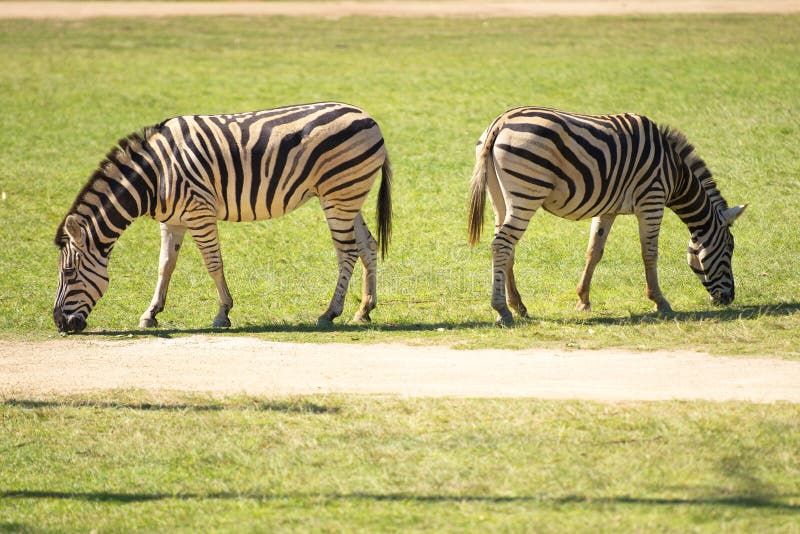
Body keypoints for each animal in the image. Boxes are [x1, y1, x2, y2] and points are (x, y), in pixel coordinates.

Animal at [54, 102, 392, 333]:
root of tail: (368, 117)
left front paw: (222, 313)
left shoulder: (199, 212)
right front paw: (151, 313)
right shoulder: (172, 221)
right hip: (348, 196)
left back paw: (330, 313)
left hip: (338, 195)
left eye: (69, 273)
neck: (155, 176)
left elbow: (213, 264)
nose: (59, 323)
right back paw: (365, 309)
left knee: (347, 252)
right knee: (368, 245)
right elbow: (165, 266)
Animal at [467, 106, 746, 325]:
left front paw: (583, 300)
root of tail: (502, 121)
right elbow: (649, 253)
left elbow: (594, 251)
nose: (729, 298)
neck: (675, 172)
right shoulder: (652, 200)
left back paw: (518, 306)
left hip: (501, 198)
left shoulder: (608, 209)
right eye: (729, 249)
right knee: (502, 245)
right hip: (527, 192)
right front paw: (660, 301)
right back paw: (502, 310)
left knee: (506, 248)